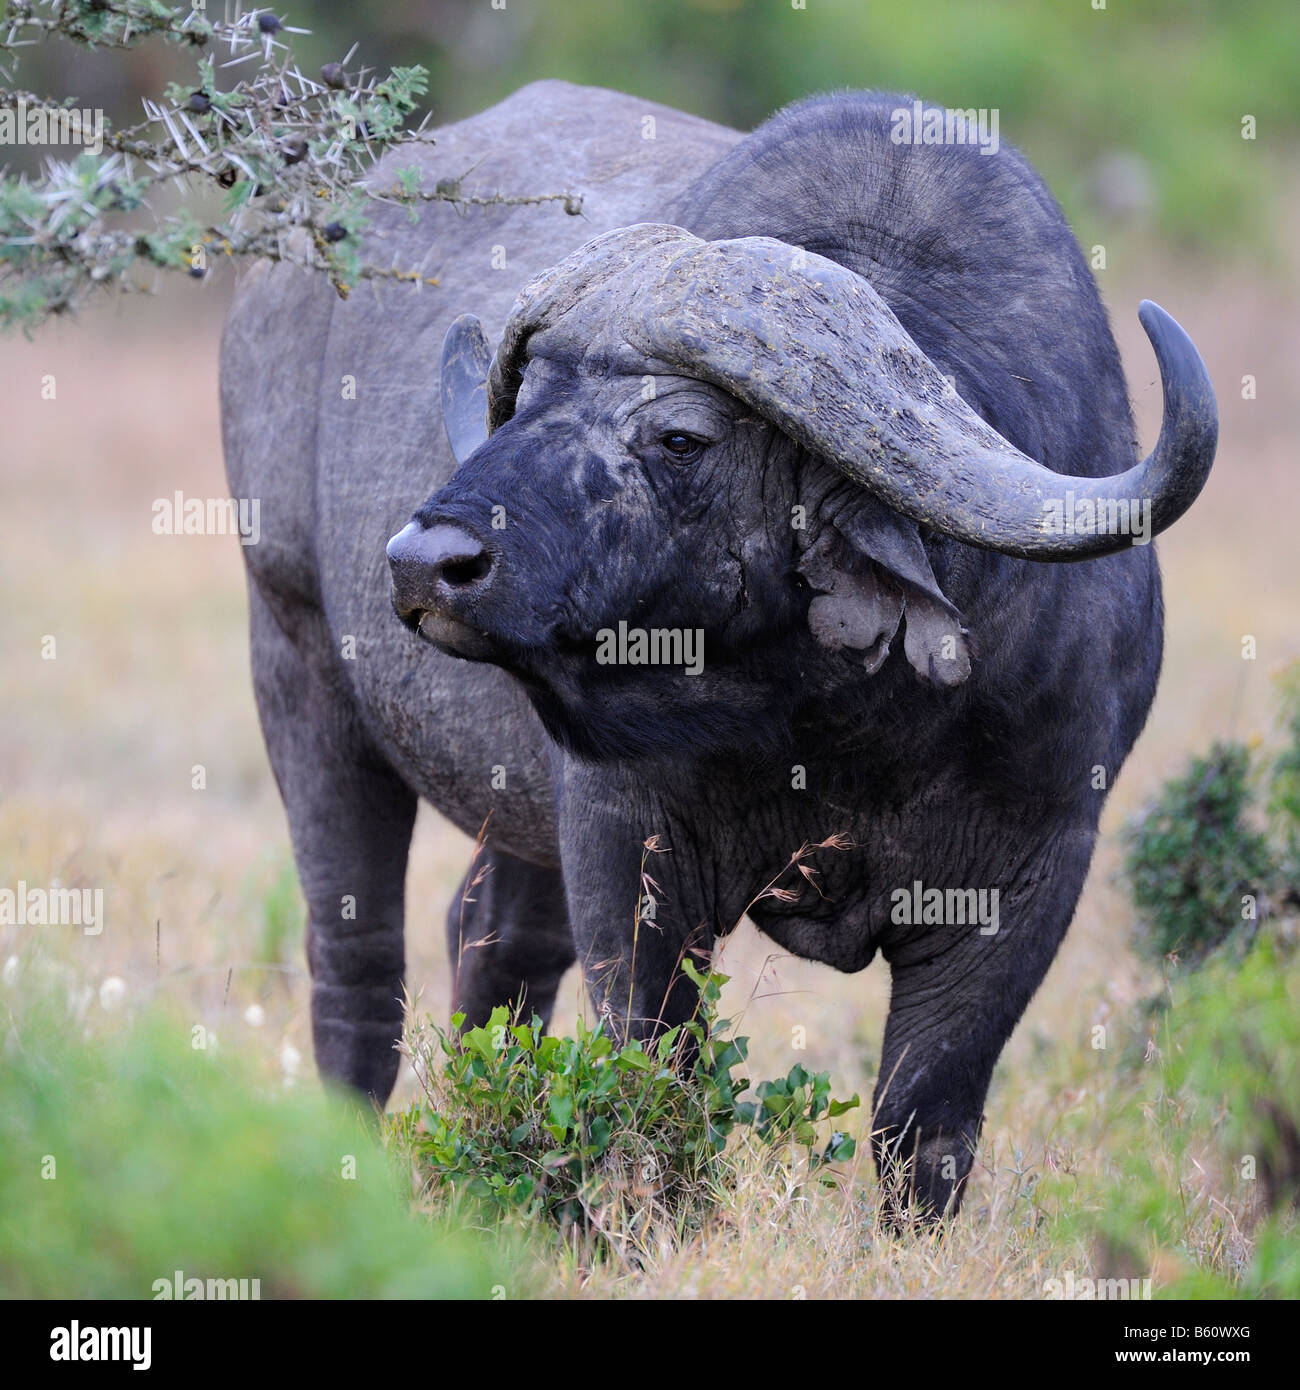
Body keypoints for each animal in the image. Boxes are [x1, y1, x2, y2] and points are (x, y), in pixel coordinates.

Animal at [221, 81, 1217, 1218]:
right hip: (295, 658)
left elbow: (924, 1127)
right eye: (527, 400)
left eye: (680, 437)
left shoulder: (1029, 873)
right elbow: (660, 1084)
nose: (426, 561)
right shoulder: (626, 848)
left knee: (493, 941)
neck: (837, 718)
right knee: (357, 959)